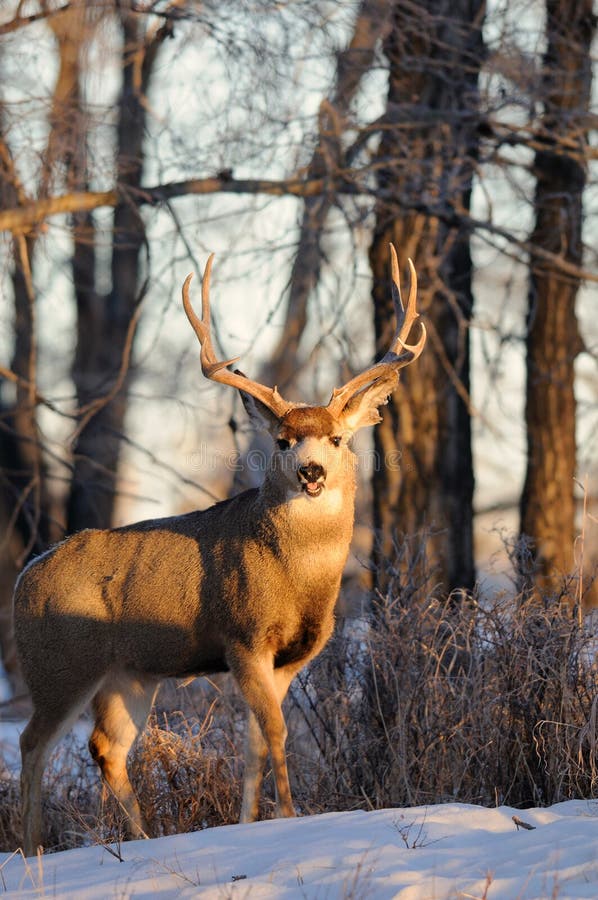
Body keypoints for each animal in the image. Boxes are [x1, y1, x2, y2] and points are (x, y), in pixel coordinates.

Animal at [14, 244, 426, 857]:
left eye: (336, 437)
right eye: (282, 440)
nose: (311, 471)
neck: (298, 580)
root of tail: (25, 576)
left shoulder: (290, 657)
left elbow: (255, 739)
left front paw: (249, 824)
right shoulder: (242, 638)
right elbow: (276, 729)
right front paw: (290, 815)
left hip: (128, 674)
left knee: (106, 747)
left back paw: (140, 839)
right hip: (60, 665)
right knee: (32, 742)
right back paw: (31, 847)